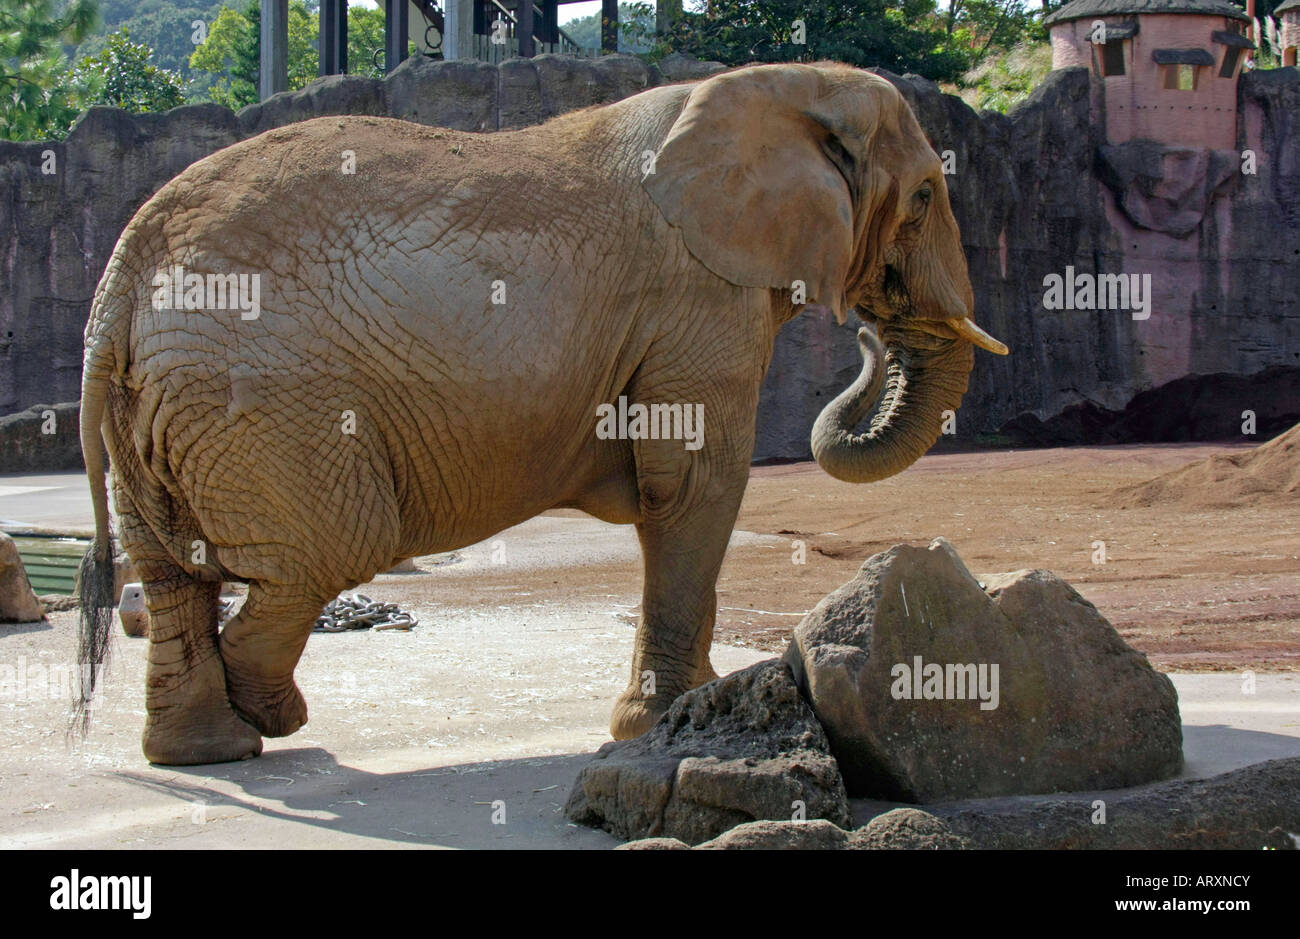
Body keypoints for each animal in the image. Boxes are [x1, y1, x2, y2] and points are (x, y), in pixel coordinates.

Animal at [75, 60, 1007, 766]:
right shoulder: (699, 296)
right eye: (927, 196)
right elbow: (693, 483)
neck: (783, 83)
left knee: (172, 568)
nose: (870, 333)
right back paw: (269, 715)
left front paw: (684, 712)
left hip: (158, 402)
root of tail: (121, 275)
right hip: (260, 399)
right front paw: (671, 720)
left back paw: (206, 750)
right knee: (327, 552)